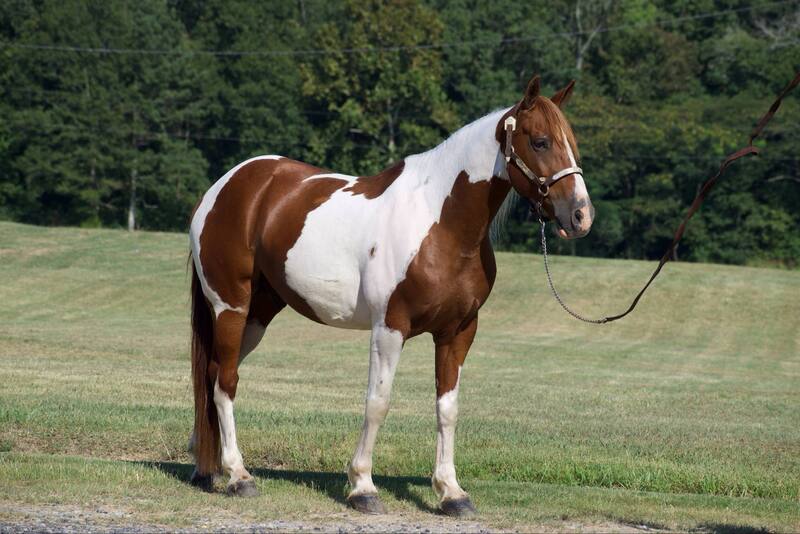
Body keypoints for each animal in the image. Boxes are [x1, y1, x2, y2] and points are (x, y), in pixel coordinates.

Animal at [187, 74, 594, 517]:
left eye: (571, 141)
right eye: (540, 141)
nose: (580, 215)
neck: (442, 223)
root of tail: (225, 186)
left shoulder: (458, 332)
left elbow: (447, 409)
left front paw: (451, 492)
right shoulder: (390, 328)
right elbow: (377, 402)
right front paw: (363, 486)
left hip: (258, 313)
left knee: (213, 375)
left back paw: (204, 467)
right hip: (230, 307)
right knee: (225, 381)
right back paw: (238, 475)